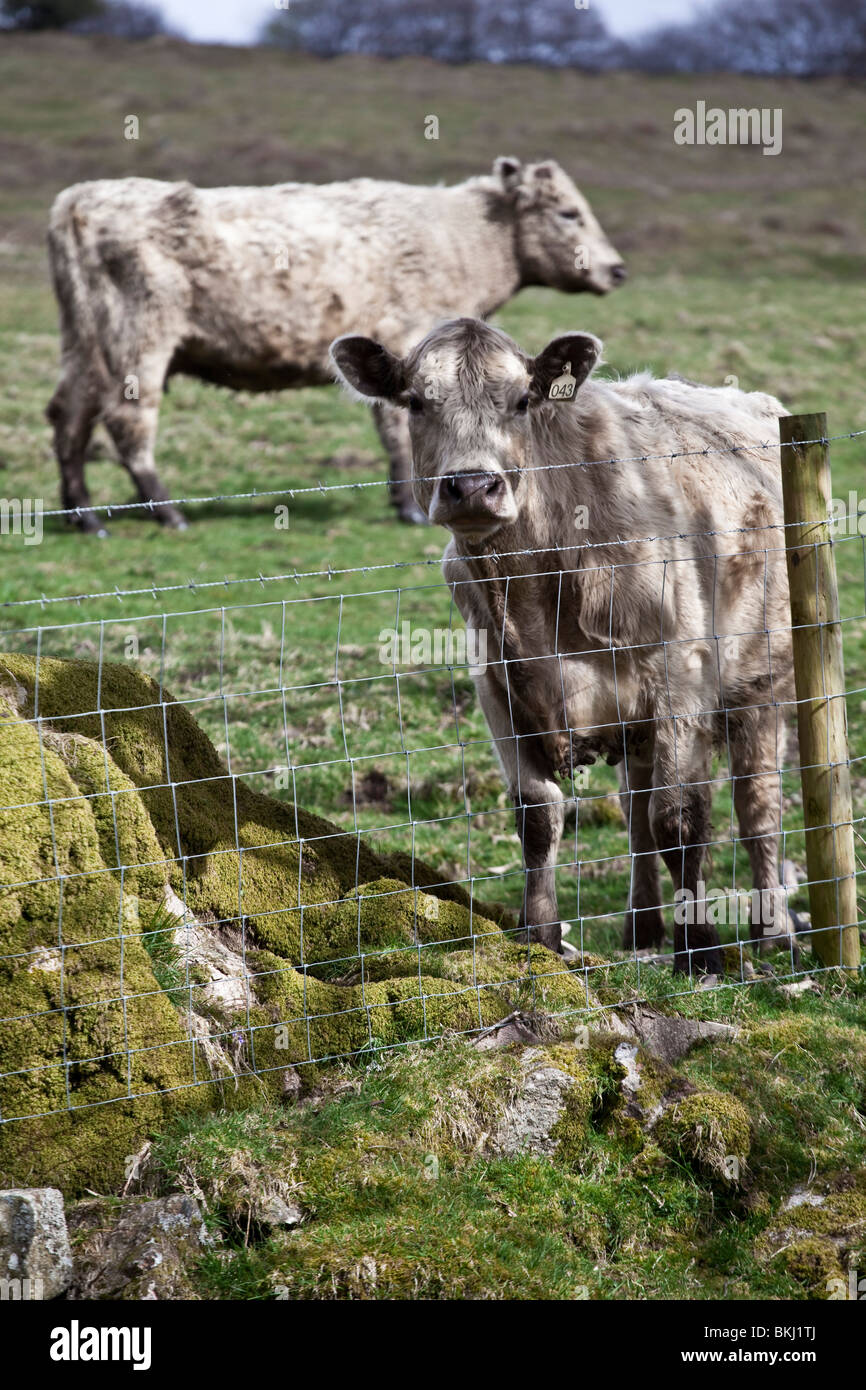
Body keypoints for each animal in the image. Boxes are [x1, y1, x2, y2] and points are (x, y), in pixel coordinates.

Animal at [45, 159, 625, 533]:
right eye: (569, 212)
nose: (618, 269)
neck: (458, 236)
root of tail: (80, 197)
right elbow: (394, 428)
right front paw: (408, 507)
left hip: (86, 345)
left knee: (69, 414)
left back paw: (83, 514)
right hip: (138, 340)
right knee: (127, 420)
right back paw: (167, 511)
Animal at [331, 317, 798, 977]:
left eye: (522, 401)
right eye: (417, 402)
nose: (472, 486)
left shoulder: (680, 673)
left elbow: (680, 819)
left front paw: (700, 951)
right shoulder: (496, 684)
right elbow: (539, 816)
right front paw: (542, 937)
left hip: (763, 680)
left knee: (757, 808)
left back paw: (773, 930)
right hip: (638, 728)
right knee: (635, 813)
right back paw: (642, 928)